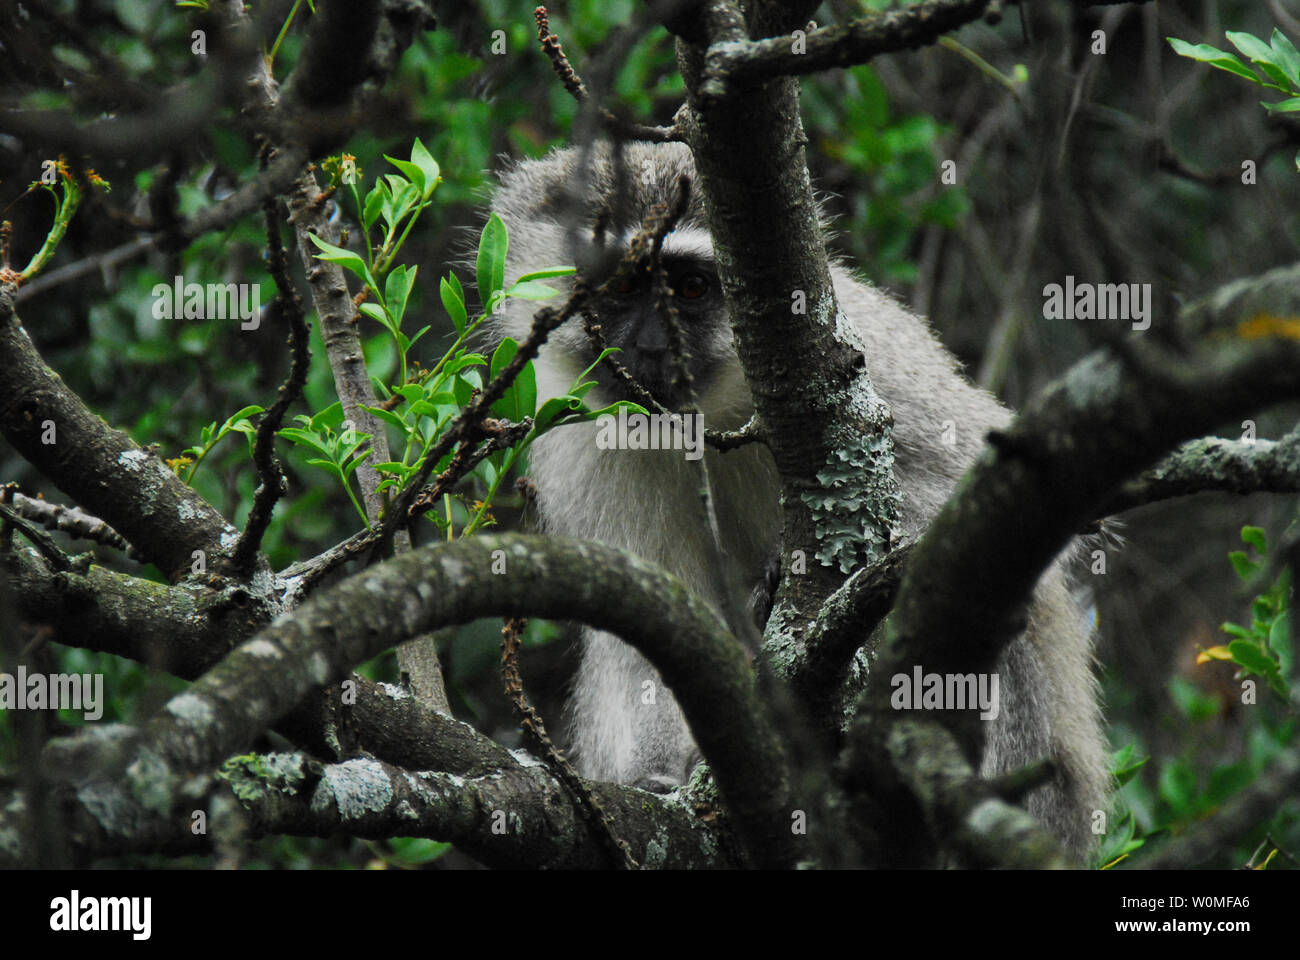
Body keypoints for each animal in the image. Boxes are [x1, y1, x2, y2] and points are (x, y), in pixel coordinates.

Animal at [485, 139, 1109, 862]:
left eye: (690, 287)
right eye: (622, 285)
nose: (649, 347)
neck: (714, 415)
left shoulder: (868, 369)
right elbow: (658, 626)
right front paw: (662, 778)